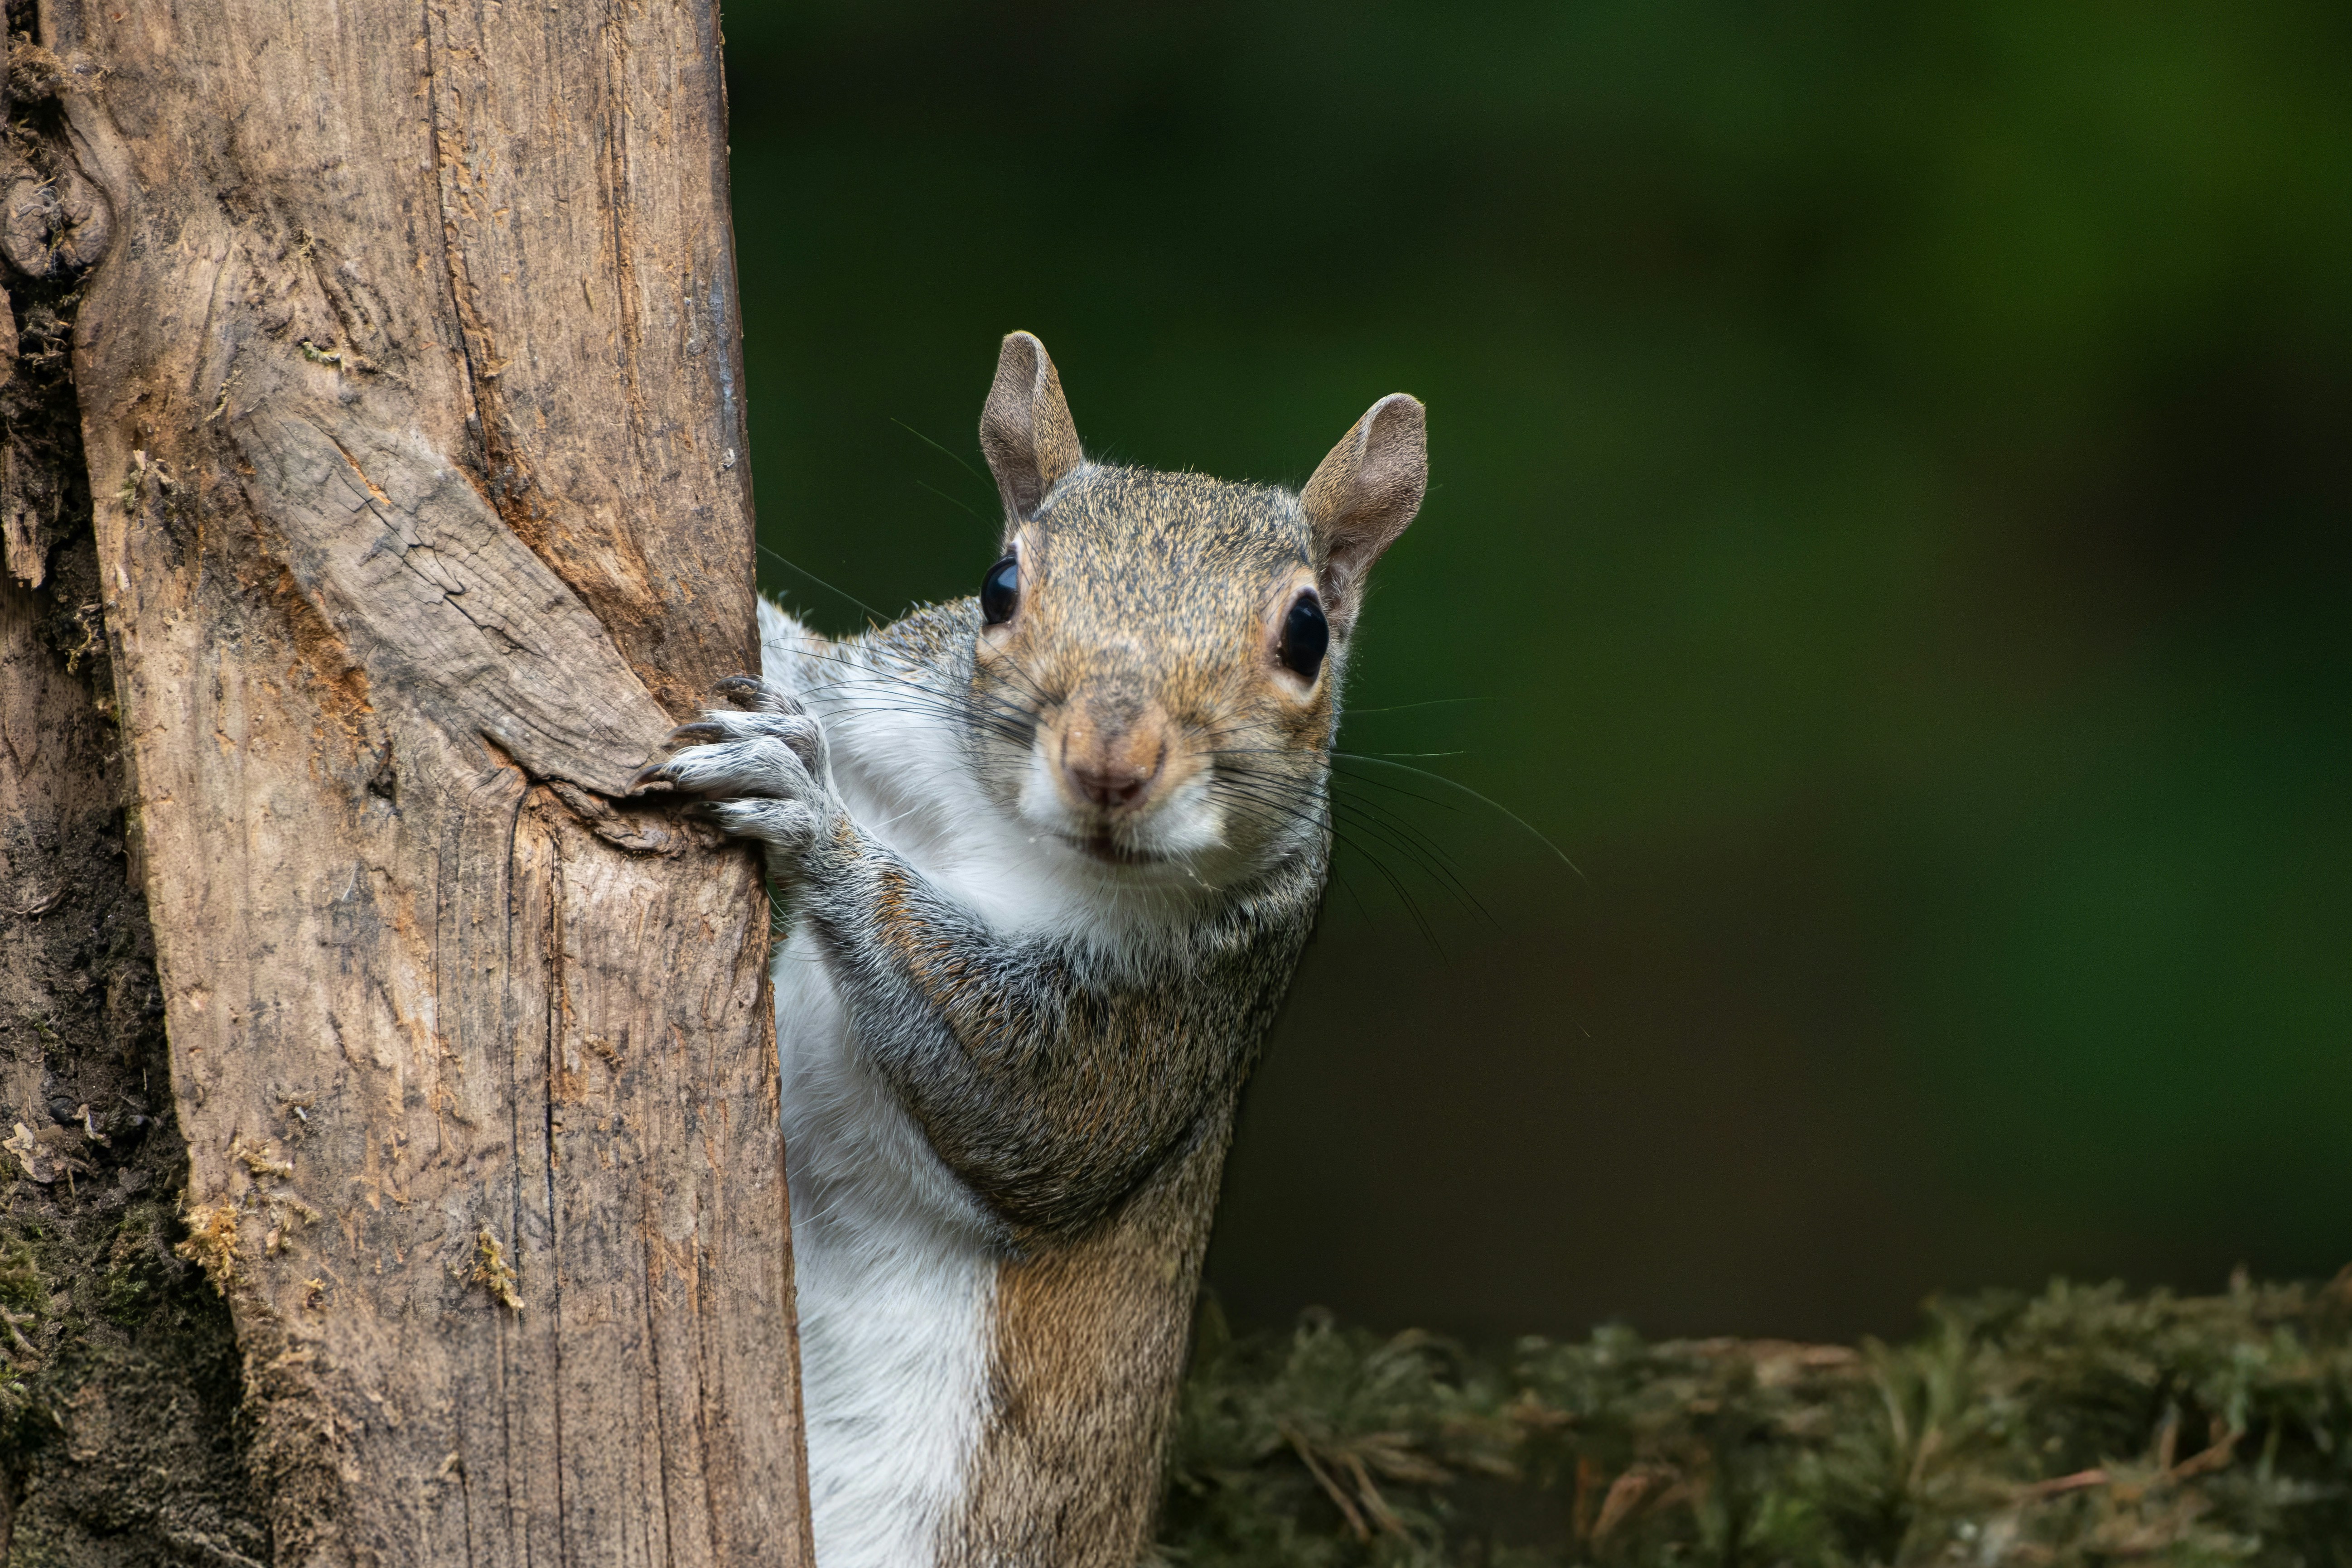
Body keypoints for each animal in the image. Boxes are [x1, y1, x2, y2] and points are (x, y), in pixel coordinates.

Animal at [635, 333, 1427, 1567]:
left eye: (1306, 633)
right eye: (1000, 587)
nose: (1112, 760)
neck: (1003, 832)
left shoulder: (1184, 1000)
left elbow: (1030, 1108)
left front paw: (806, 815)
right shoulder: (886, 702)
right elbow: (803, 659)